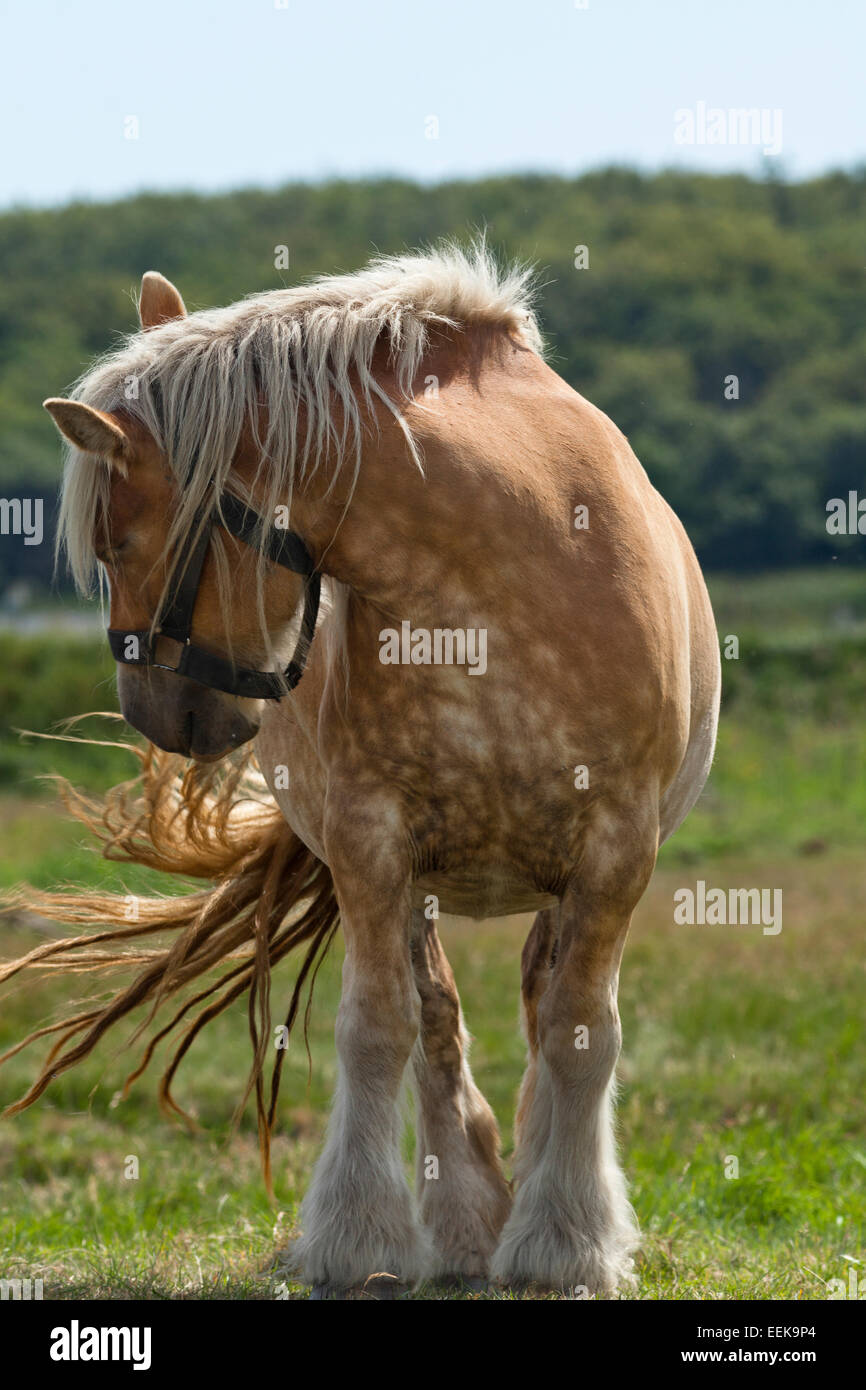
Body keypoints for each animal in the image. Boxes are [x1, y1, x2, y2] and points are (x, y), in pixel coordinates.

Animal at [2, 243, 720, 1297]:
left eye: (117, 543)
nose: (153, 713)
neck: (499, 581)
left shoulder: (617, 852)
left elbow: (580, 1031)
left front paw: (567, 1242)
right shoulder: (373, 846)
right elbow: (381, 1028)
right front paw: (364, 1239)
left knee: (542, 1004)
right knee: (438, 1021)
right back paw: (465, 1225)